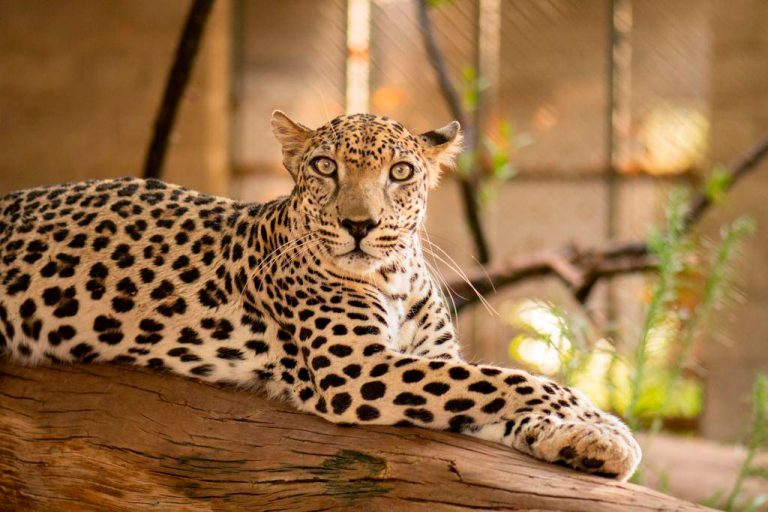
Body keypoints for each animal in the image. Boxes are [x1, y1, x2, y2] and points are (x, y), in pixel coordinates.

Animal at [0, 111, 641, 480]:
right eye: (326, 167)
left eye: (401, 172)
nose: (359, 224)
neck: (395, 276)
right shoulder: (359, 369)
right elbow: (512, 379)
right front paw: (608, 427)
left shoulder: (434, 359)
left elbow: (494, 395)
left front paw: (585, 440)